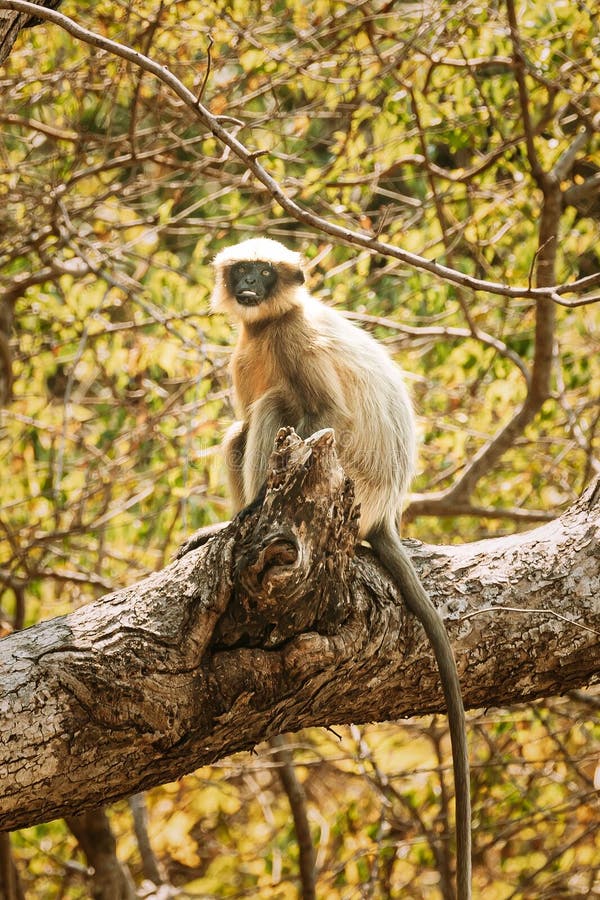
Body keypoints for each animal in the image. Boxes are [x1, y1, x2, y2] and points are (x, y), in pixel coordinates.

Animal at [210, 237, 471, 900]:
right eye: (243, 271)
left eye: (265, 273)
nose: (249, 286)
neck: (265, 325)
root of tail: (384, 512)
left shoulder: (294, 336)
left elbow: (324, 408)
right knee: (240, 428)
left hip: (351, 473)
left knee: (275, 407)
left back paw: (249, 512)